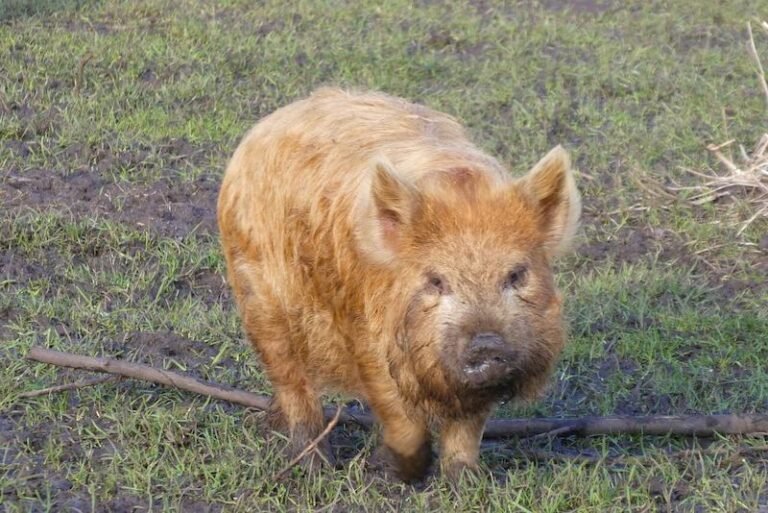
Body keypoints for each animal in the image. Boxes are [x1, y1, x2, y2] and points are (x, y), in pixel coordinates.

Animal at [217, 88, 581, 482]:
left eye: (516, 274)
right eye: (436, 280)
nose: (486, 343)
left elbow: (467, 429)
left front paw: (465, 482)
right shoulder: (367, 338)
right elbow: (398, 414)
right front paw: (397, 472)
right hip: (260, 297)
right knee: (292, 381)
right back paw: (314, 467)